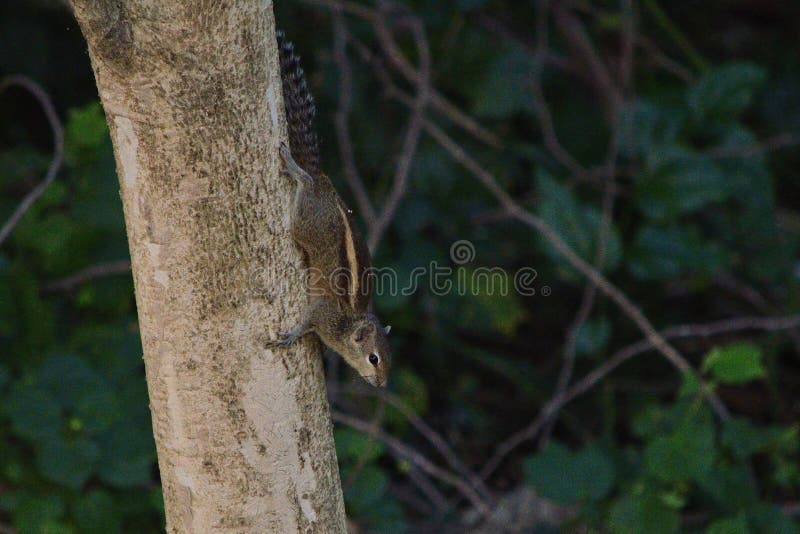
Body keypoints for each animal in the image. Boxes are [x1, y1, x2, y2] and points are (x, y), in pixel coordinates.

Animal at [266, 32, 392, 388]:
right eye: (373, 358)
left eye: (390, 359)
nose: (381, 384)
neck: (350, 323)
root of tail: (326, 184)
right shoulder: (322, 314)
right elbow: (305, 322)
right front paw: (290, 336)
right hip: (306, 219)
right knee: (305, 183)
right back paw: (298, 170)